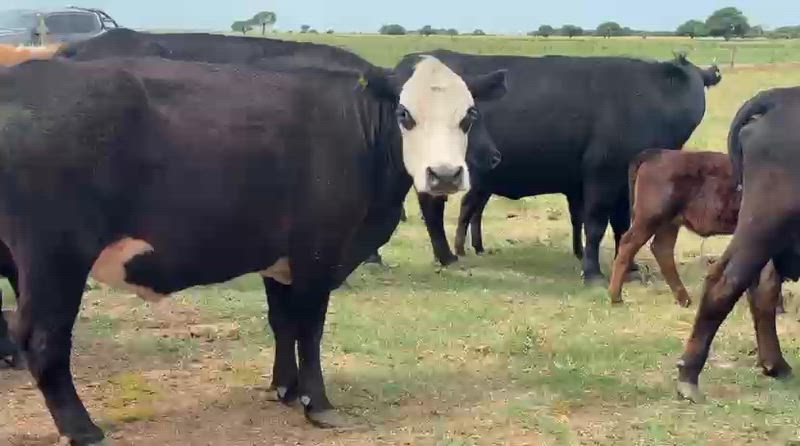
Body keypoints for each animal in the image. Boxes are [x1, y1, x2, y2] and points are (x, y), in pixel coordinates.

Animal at [0, 56, 507, 444]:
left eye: (469, 116)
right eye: (405, 114)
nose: (445, 175)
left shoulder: (279, 260)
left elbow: (282, 324)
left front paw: (285, 388)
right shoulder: (318, 254)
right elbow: (309, 330)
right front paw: (317, 403)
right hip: (56, 259)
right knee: (41, 337)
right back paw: (81, 428)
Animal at [396, 50, 722, 284]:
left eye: (699, 87)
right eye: (680, 86)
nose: (690, 108)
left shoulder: (623, 183)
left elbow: (622, 225)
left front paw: (628, 269)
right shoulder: (601, 175)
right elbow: (595, 225)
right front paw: (592, 272)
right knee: (434, 210)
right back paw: (448, 256)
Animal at [608, 150, 740, 307]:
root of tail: (656, 153)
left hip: (669, 223)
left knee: (662, 249)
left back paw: (683, 299)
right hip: (650, 218)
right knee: (628, 245)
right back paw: (616, 297)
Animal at [676, 87, 800, 404]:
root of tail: (782, 97)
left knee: (763, 288)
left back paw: (776, 364)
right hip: (765, 223)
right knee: (725, 283)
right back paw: (689, 376)